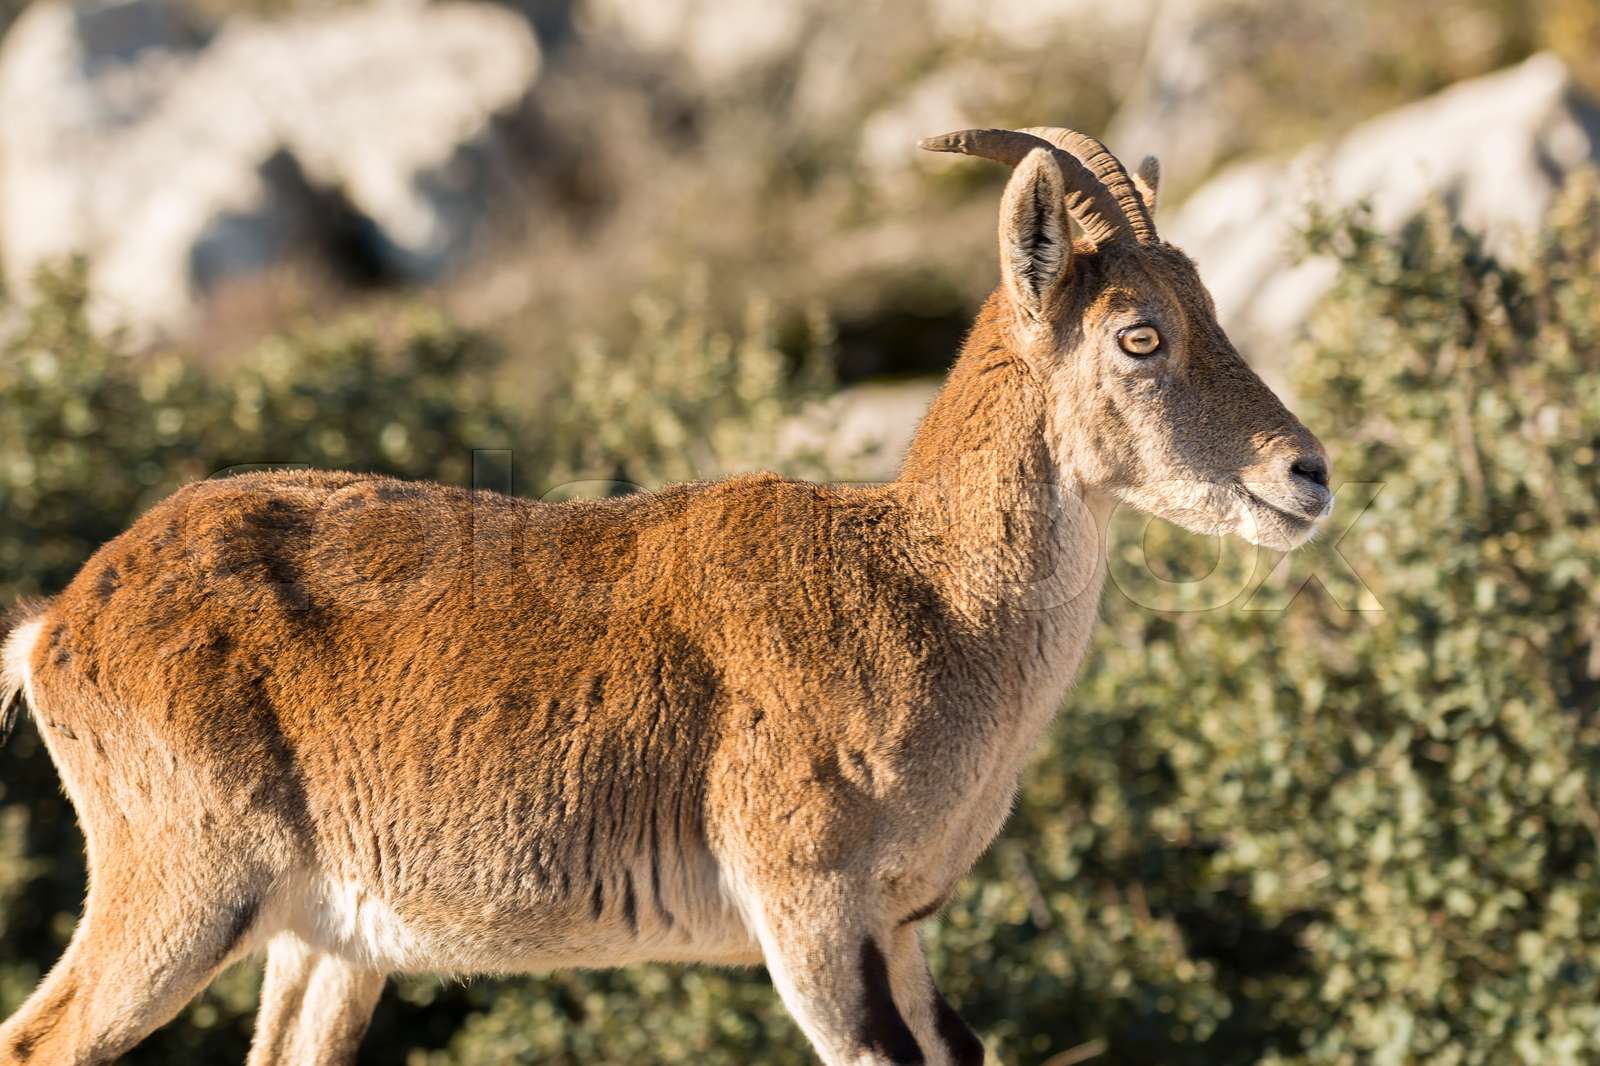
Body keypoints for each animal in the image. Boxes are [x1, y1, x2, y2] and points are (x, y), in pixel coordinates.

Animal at [0, 126, 1330, 1065]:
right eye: (1138, 335)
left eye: (1206, 307)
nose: (1305, 472)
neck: (925, 593)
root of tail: (59, 622)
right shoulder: (806, 905)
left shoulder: (900, 927)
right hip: (178, 878)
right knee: (38, 1036)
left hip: (325, 940)